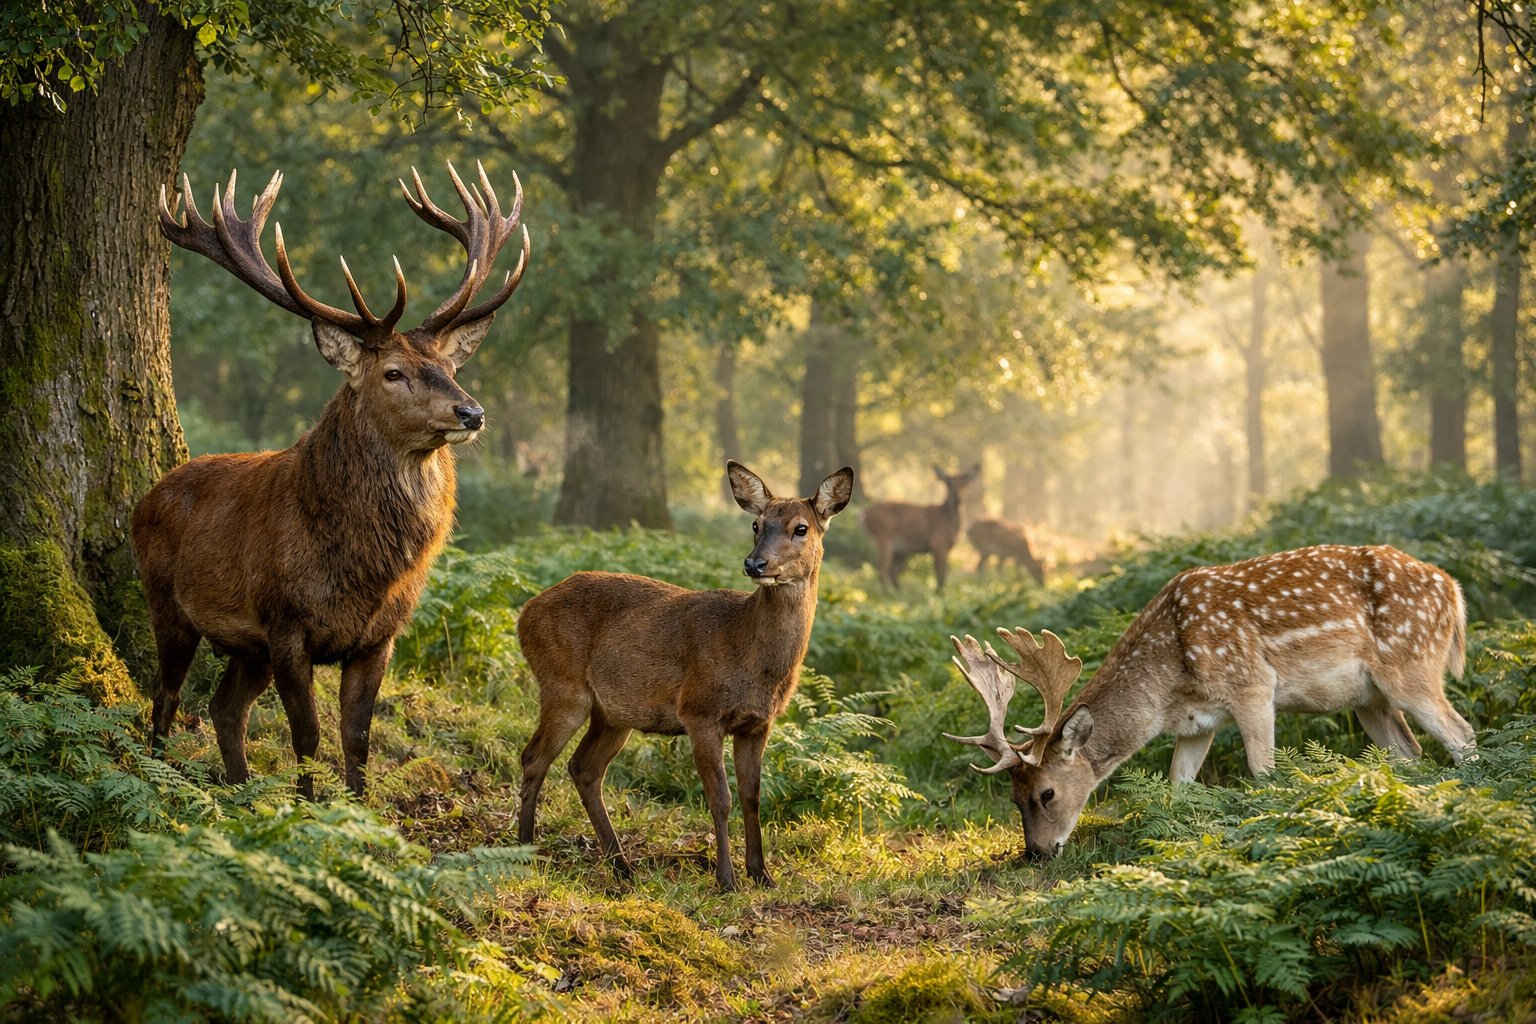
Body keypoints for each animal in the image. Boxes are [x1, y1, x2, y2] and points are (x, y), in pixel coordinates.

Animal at [133, 162, 529, 798]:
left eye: (449, 367)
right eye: (393, 373)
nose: (471, 413)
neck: (361, 570)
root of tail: (145, 499)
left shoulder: (378, 638)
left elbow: (357, 738)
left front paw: (358, 809)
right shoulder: (286, 624)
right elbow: (307, 737)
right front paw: (307, 807)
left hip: (246, 647)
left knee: (224, 707)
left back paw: (240, 790)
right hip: (167, 601)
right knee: (166, 695)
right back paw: (161, 773)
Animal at [515, 461, 854, 890]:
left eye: (801, 527)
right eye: (756, 524)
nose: (755, 564)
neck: (752, 656)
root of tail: (525, 612)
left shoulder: (758, 723)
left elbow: (752, 795)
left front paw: (762, 874)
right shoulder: (699, 711)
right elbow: (720, 798)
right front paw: (726, 880)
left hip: (613, 712)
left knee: (584, 768)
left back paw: (623, 866)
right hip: (563, 685)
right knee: (534, 757)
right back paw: (526, 851)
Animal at [862, 464, 980, 592]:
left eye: (964, 483)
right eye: (948, 483)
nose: (958, 499)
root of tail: (864, 513)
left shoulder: (947, 548)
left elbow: (945, 573)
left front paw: (941, 592)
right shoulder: (937, 543)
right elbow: (940, 573)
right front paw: (938, 593)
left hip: (900, 549)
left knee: (892, 571)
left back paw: (899, 592)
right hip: (884, 537)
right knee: (881, 568)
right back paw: (887, 593)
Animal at [943, 544, 1478, 859]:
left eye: (1047, 793)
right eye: (1013, 798)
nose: (1036, 852)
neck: (1169, 686)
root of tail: (1454, 590)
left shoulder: (1253, 686)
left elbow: (1264, 773)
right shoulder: (1198, 724)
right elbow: (1177, 787)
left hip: (1410, 665)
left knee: (1462, 734)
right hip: (1369, 698)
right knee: (1409, 754)